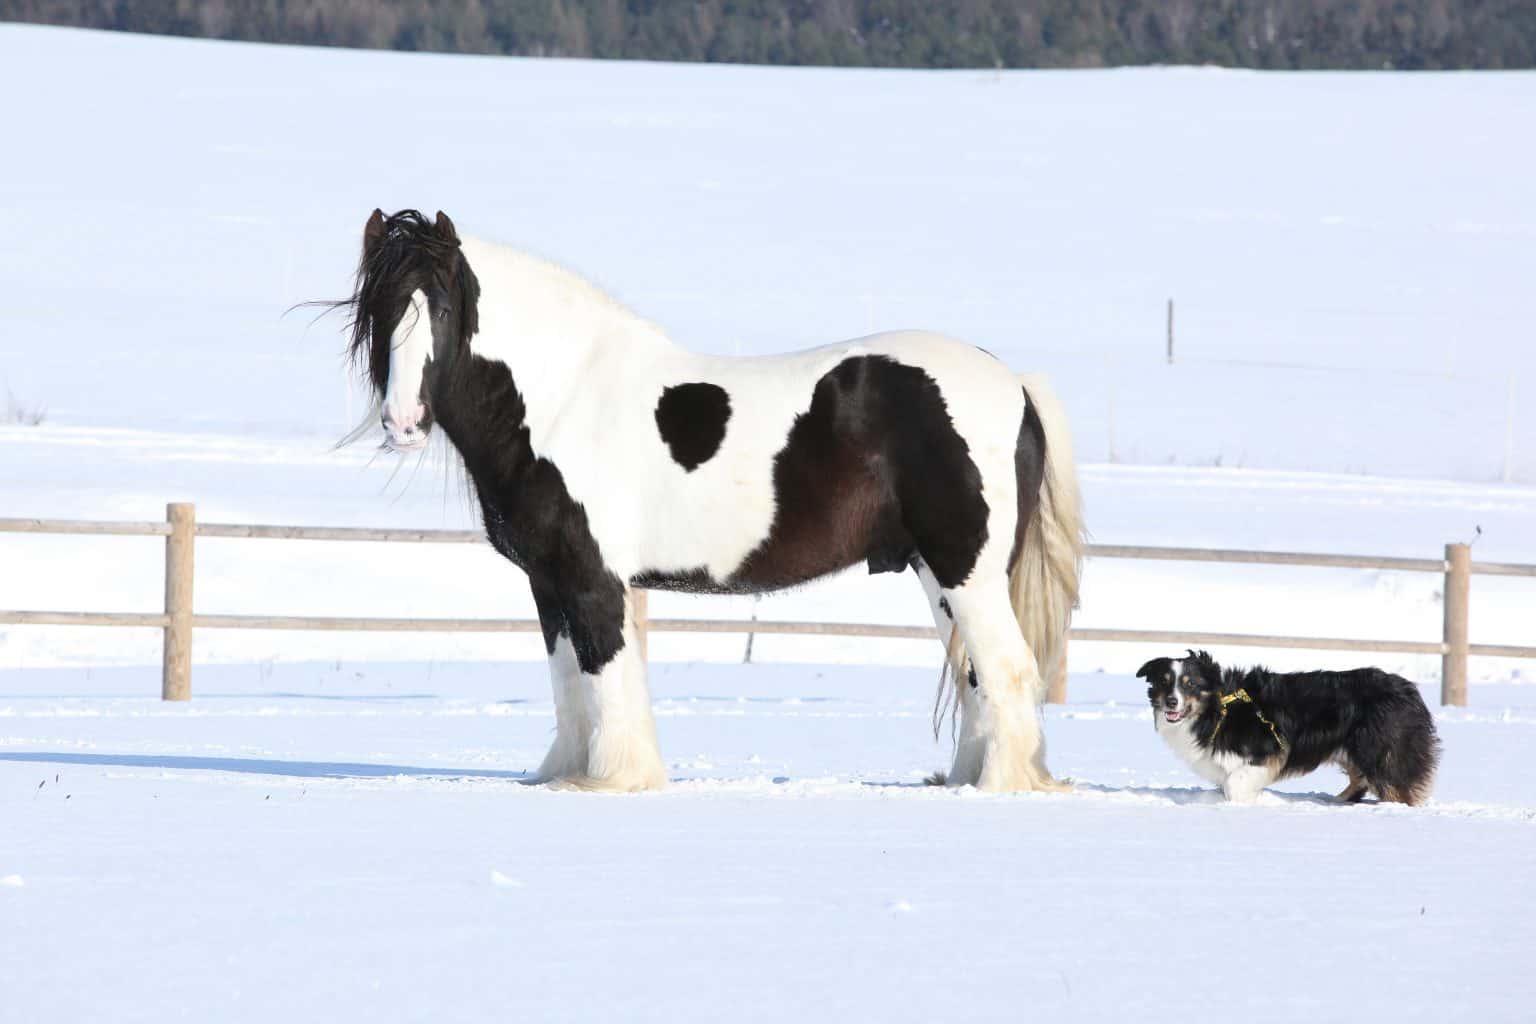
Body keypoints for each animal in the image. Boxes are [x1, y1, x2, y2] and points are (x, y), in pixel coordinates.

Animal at [335, 208, 1085, 793]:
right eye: (378, 311)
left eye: (443, 310)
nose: (403, 422)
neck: (566, 395)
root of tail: (1014, 383)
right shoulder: (551, 583)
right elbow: (572, 684)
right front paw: (568, 774)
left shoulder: (593, 581)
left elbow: (605, 677)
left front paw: (617, 779)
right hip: (939, 572)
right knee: (976, 675)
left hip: (966, 569)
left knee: (1007, 669)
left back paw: (997, 787)